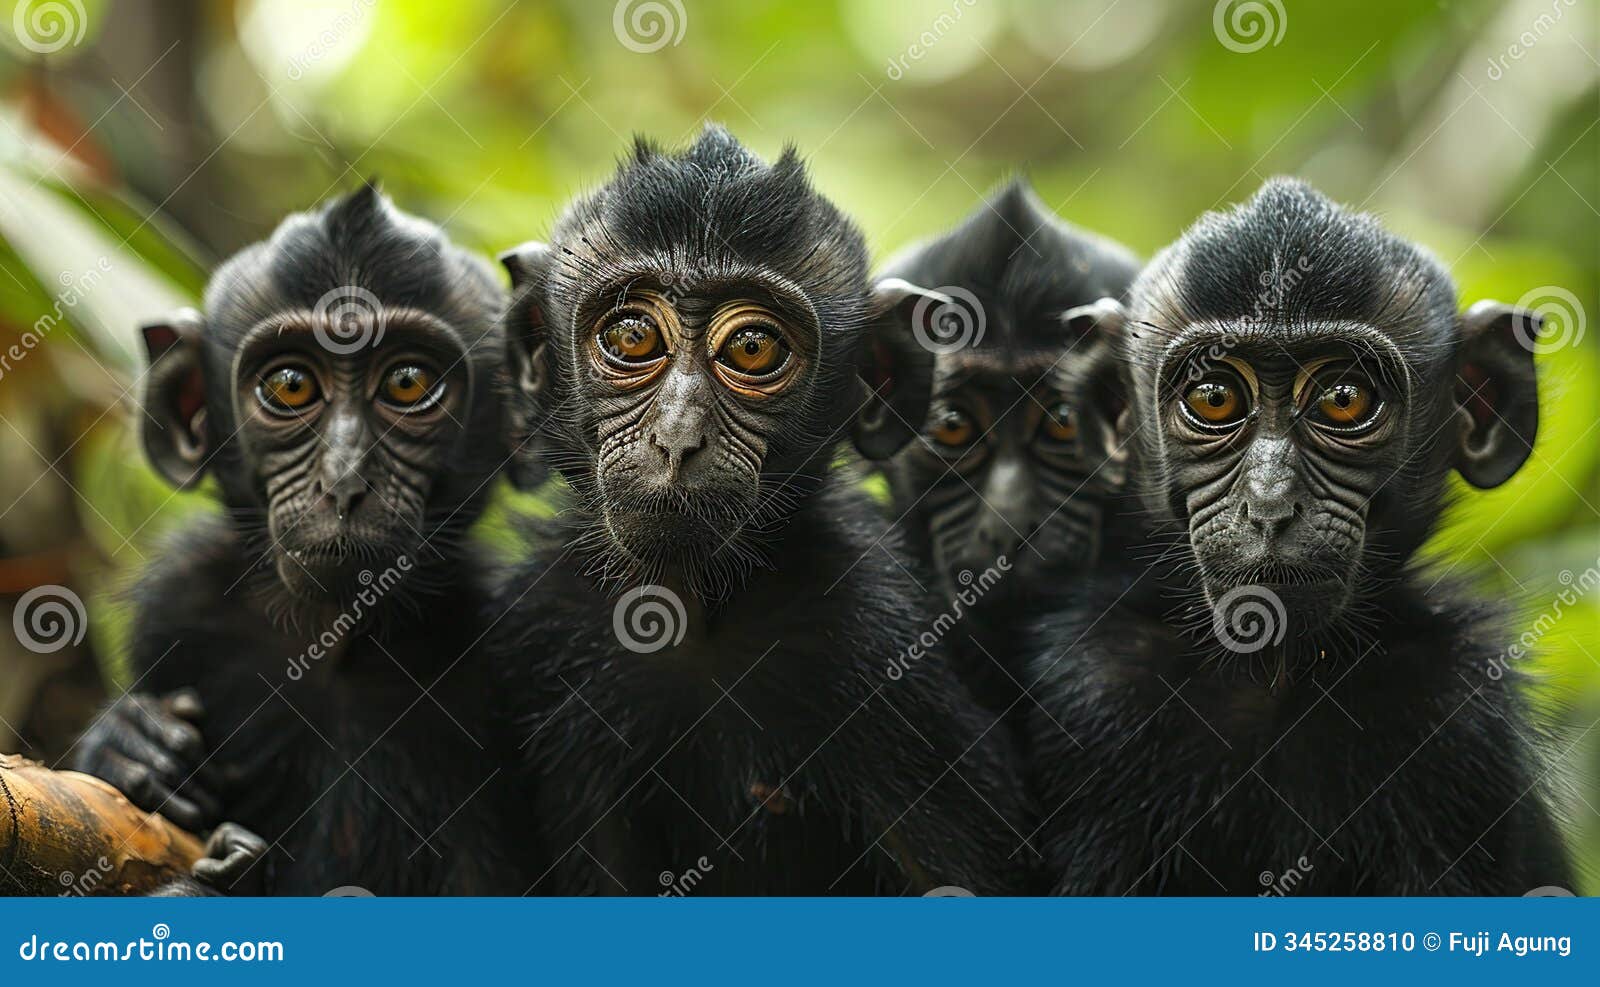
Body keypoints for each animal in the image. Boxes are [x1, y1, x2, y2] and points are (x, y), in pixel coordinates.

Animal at [492, 126, 1036, 896]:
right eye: (631, 336)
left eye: (752, 347)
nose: (678, 435)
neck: (692, 615)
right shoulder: (545, 626)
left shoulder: (876, 635)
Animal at [1026, 177, 1574, 895]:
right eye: (1214, 396)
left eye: (1343, 398)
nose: (1269, 503)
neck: (1274, 676)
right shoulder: (1098, 687)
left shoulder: (1464, 712)